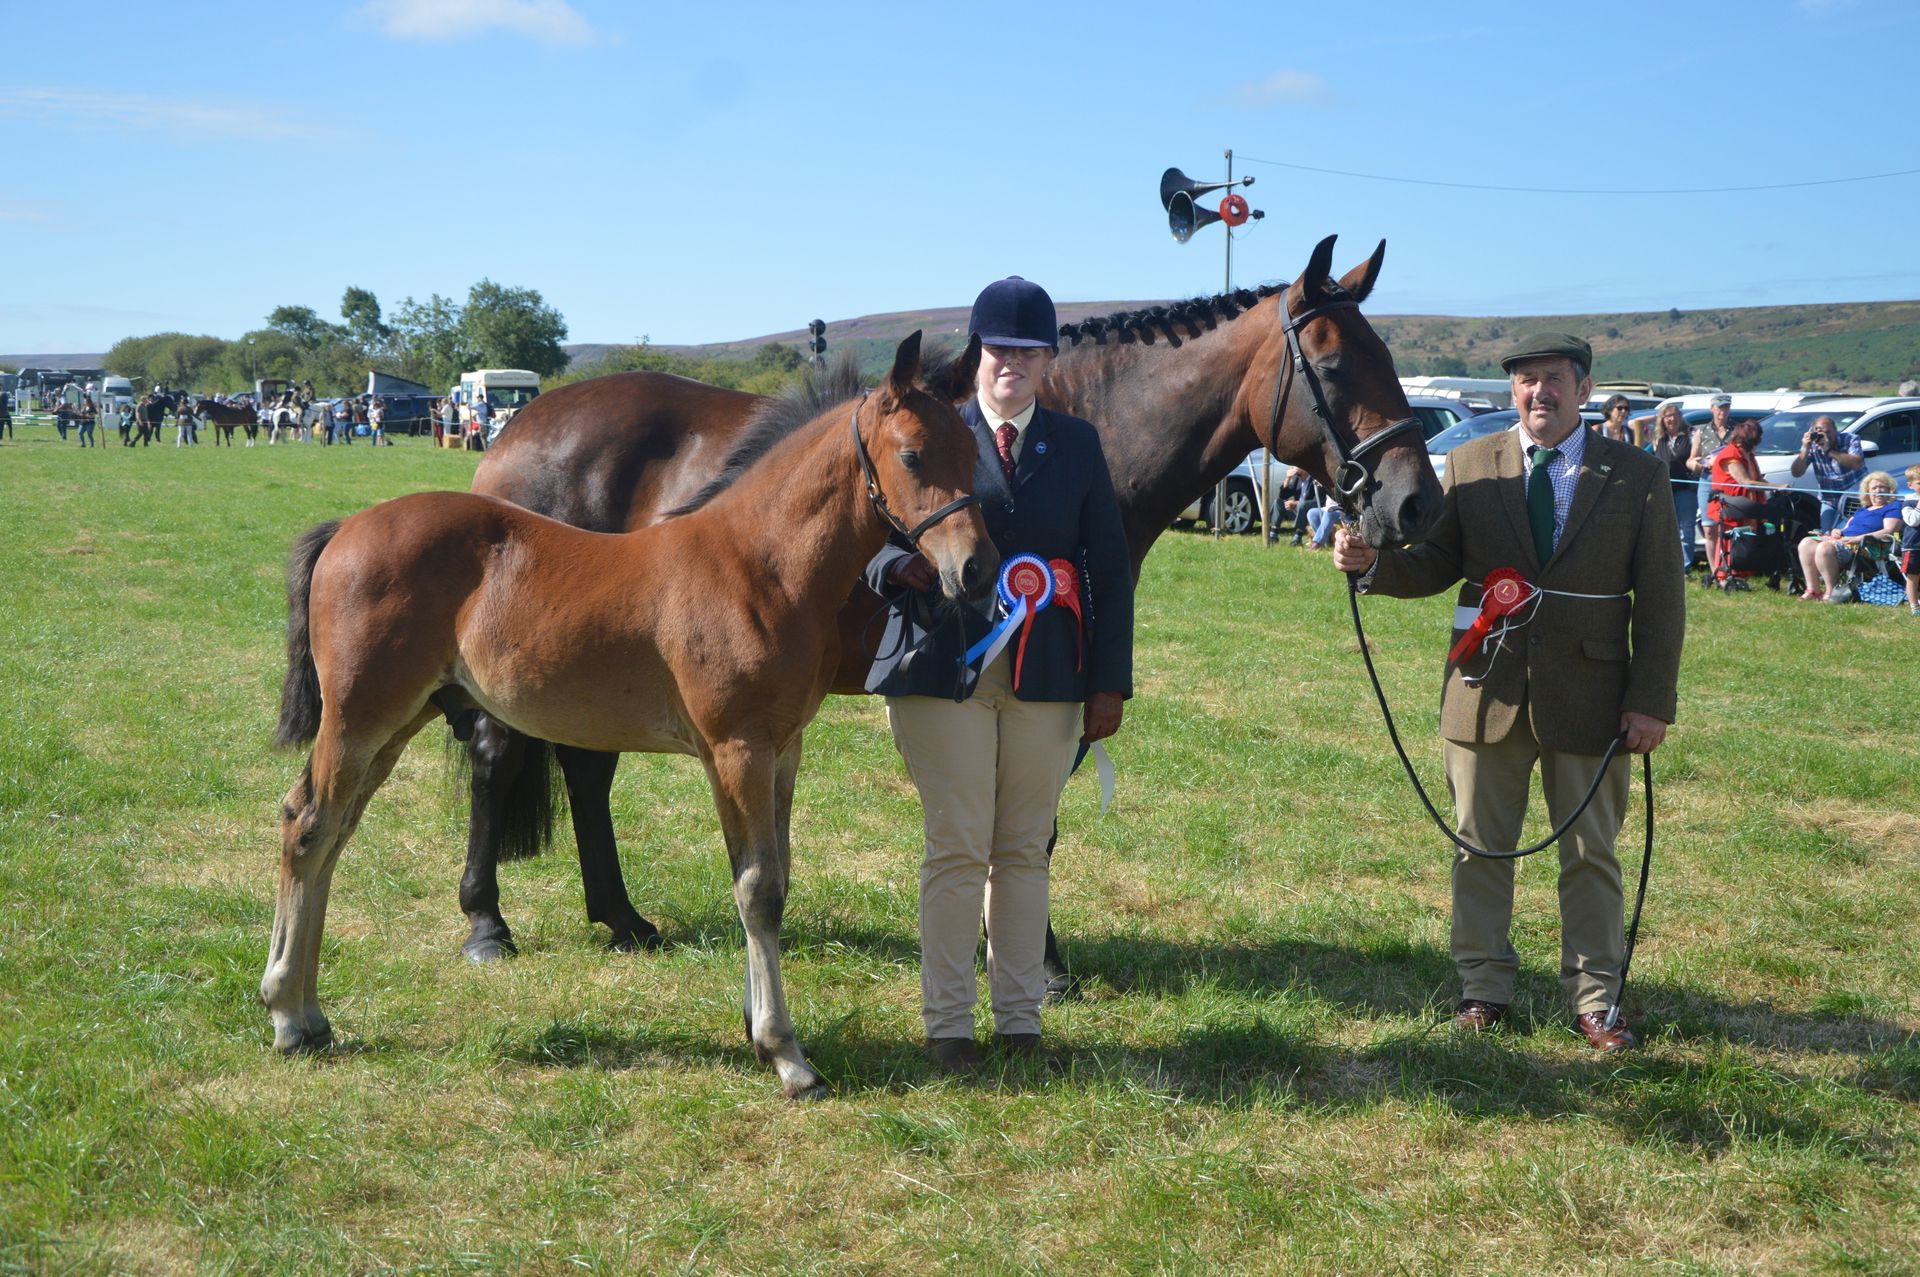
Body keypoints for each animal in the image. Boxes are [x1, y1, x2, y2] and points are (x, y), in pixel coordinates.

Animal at [454, 234, 1443, 970]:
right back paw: (487, 922)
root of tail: (518, 429)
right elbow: (1032, 823)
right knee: (498, 757)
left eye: (1390, 355)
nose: (1413, 503)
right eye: (1333, 366)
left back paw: (621, 917)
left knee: (586, 770)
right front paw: (1036, 957)